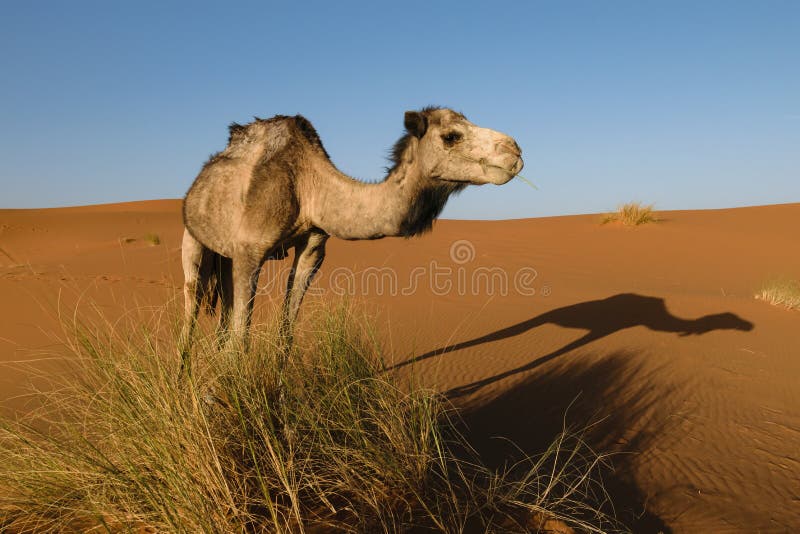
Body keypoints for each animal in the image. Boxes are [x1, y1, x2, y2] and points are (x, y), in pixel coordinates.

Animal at [180, 107, 523, 360]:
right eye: (451, 136)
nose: (514, 149)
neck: (308, 185)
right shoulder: (250, 250)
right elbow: (240, 343)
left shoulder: (313, 247)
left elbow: (286, 334)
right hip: (193, 237)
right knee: (191, 312)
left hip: (224, 255)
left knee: (222, 323)